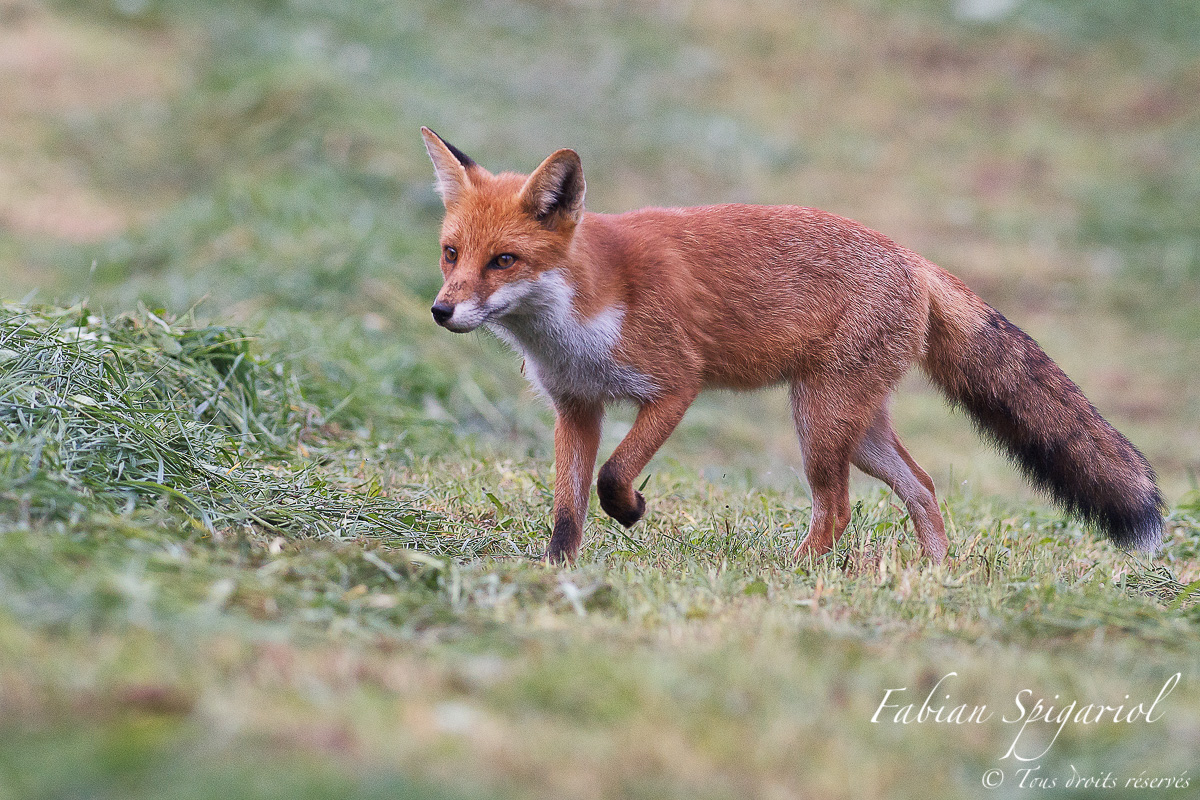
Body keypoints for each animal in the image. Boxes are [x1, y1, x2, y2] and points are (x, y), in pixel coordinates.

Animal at [420, 126, 1164, 565]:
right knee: (922, 487)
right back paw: (932, 577)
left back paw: (798, 572)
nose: (441, 310)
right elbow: (567, 507)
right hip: (854, 430)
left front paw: (629, 512)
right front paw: (558, 575)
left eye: (505, 261)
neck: (573, 318)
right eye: (452, 254)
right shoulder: (576, 406)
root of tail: (913, 258)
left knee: (838, 510)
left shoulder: (674, 386)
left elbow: (611, 476)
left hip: (820, 422)